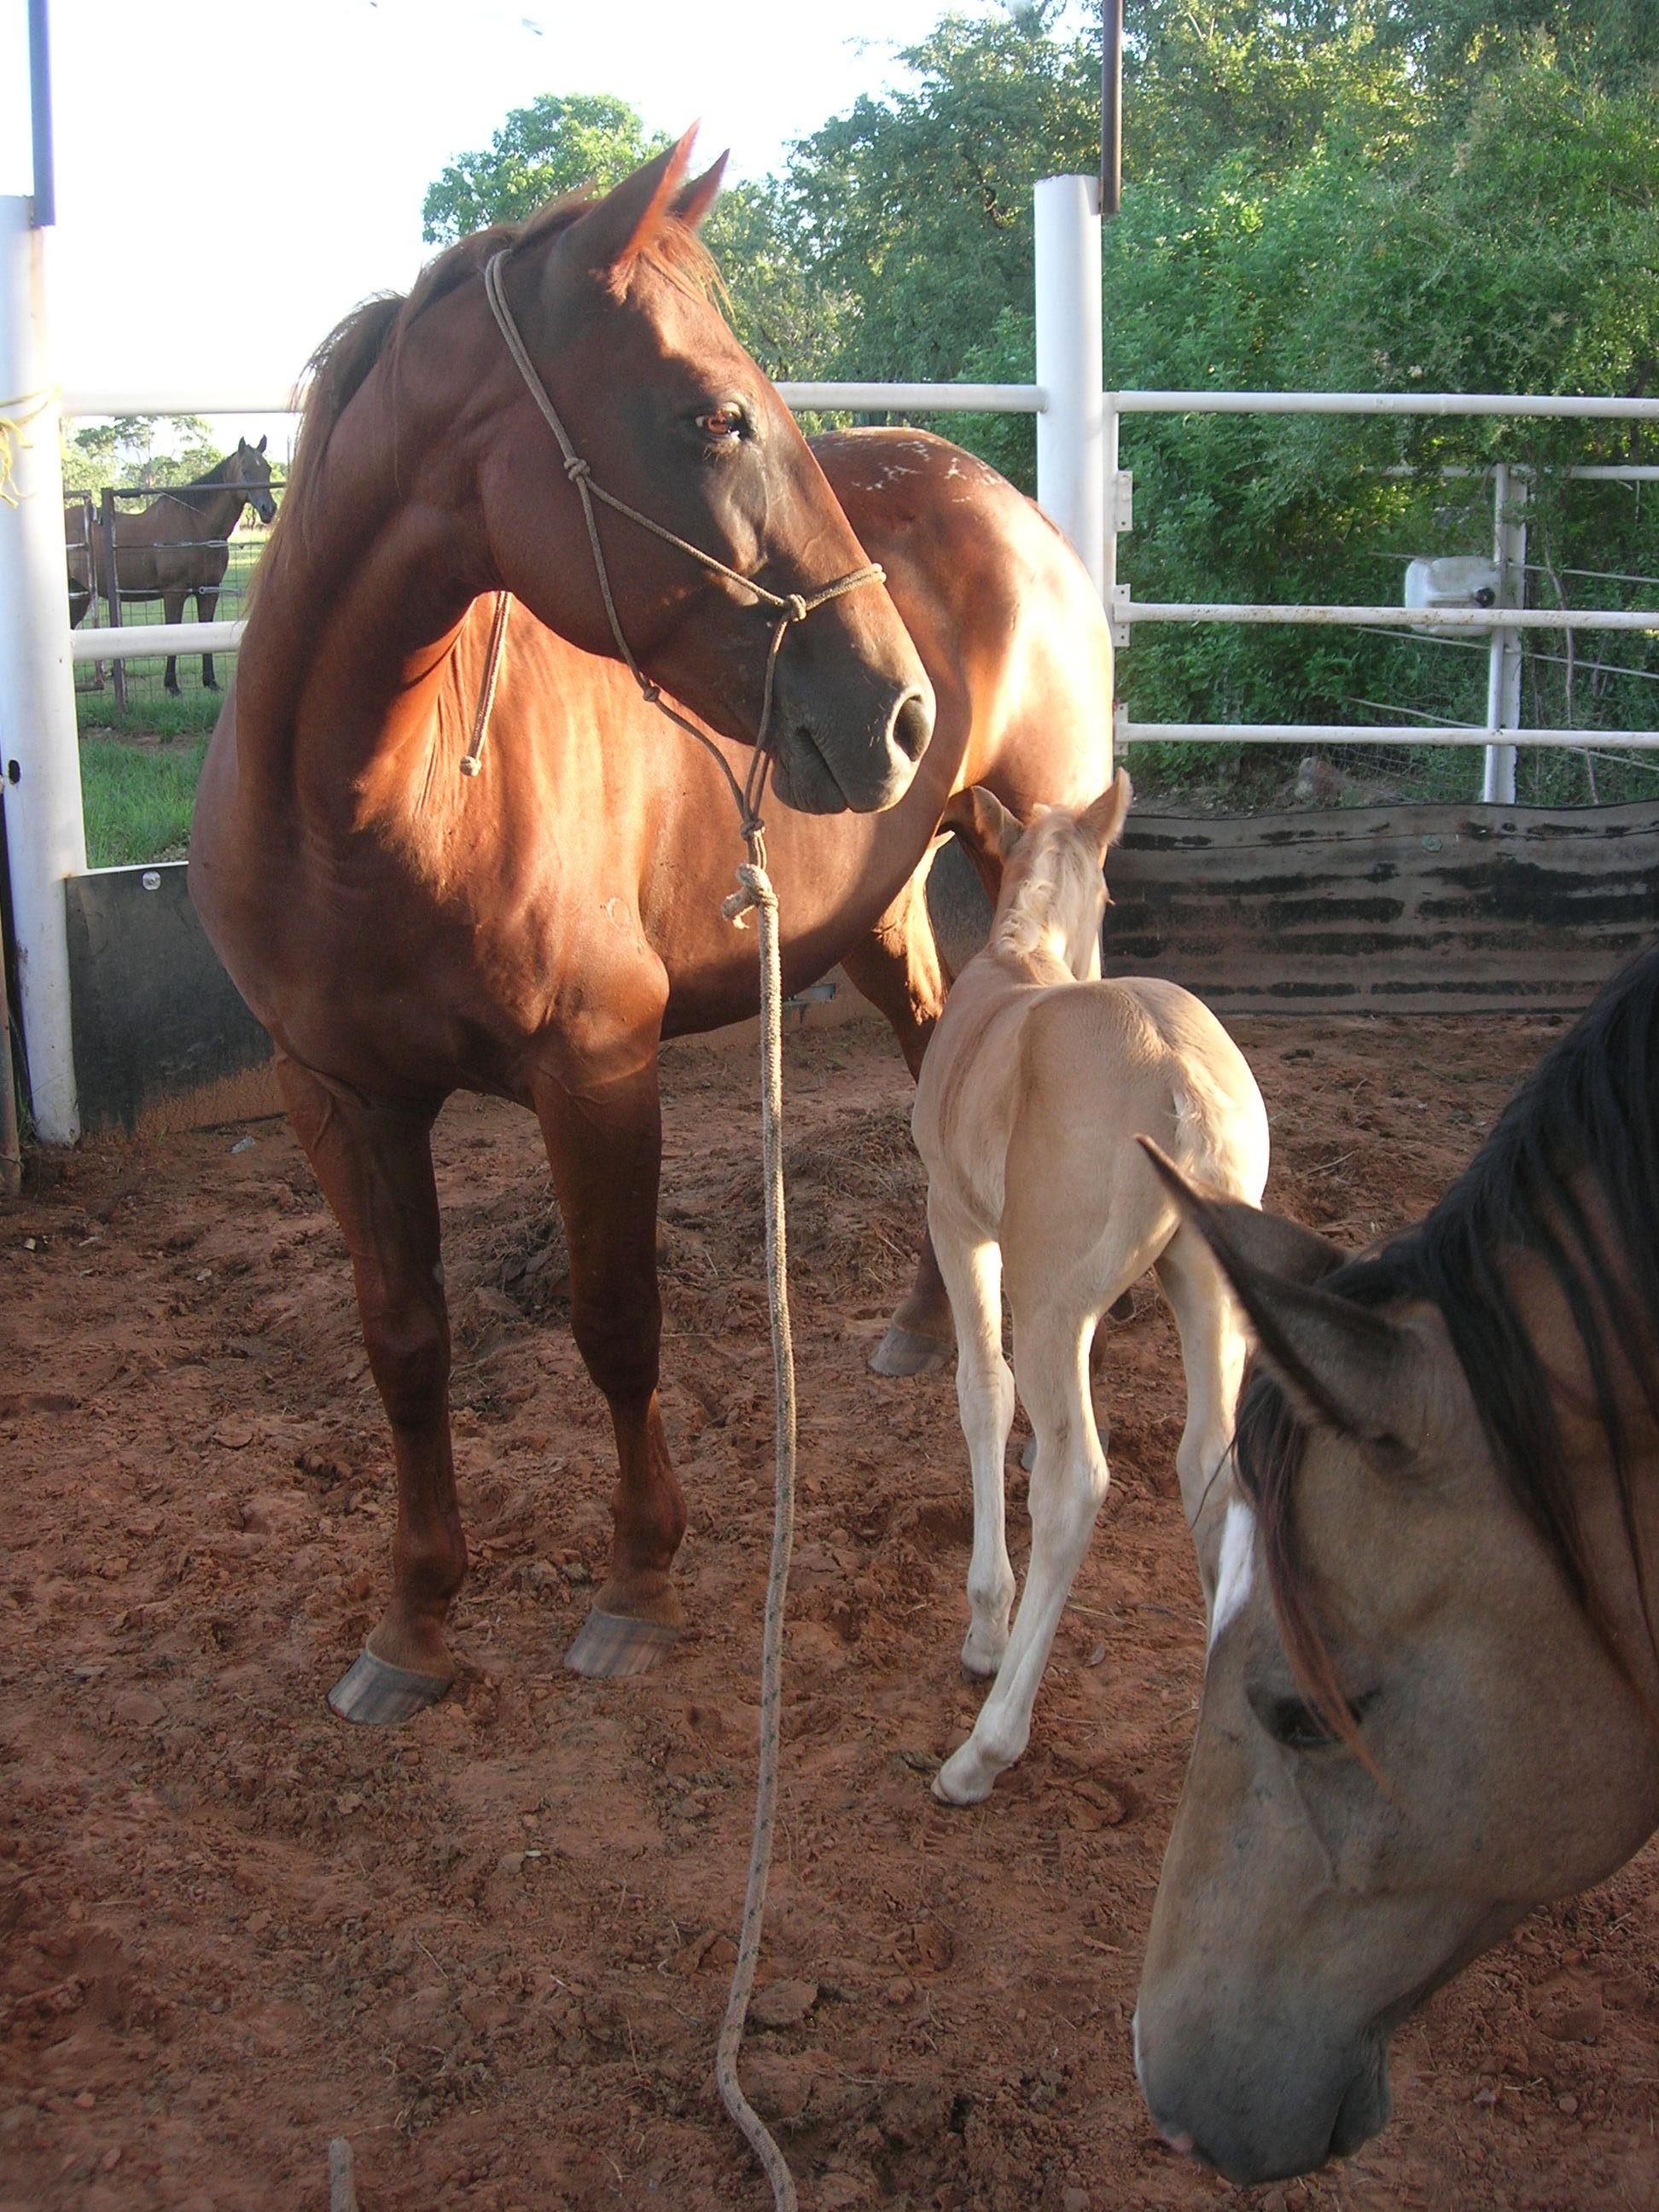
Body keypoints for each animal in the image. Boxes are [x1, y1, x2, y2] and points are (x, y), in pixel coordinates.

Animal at [69, 437, 278, 694]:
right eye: (246, 471)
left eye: (267, 469)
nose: (269, 509)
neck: (196, 527)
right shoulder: (174, 592)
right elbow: (172, 630)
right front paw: (172, 686)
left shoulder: (209, 591)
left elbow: (205, 628)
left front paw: (210, 682)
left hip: (79, 597)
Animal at [188, 133, 1114, 1724]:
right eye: (712, 415)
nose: (898, 706)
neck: (367, 804)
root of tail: (1011, 504)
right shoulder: (338, 1096)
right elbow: (404, 1345)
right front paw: (412, 1622)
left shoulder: (598, 1069)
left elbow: (615, 1319)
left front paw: (637, 1586)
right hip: (873, 913)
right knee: (938, 1069)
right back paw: (925, 1324)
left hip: (1043, 857)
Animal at [911, 777, 1269, 1807]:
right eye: (1111, 896)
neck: (1015, 958)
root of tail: (1184, 1088)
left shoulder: (959, 1224)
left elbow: (981, 1394)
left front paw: (985, 1627)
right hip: (1204, 1289)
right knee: (1211, 1462)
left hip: (1052, 1307)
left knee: (1076, 1483)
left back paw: (985, 1749)